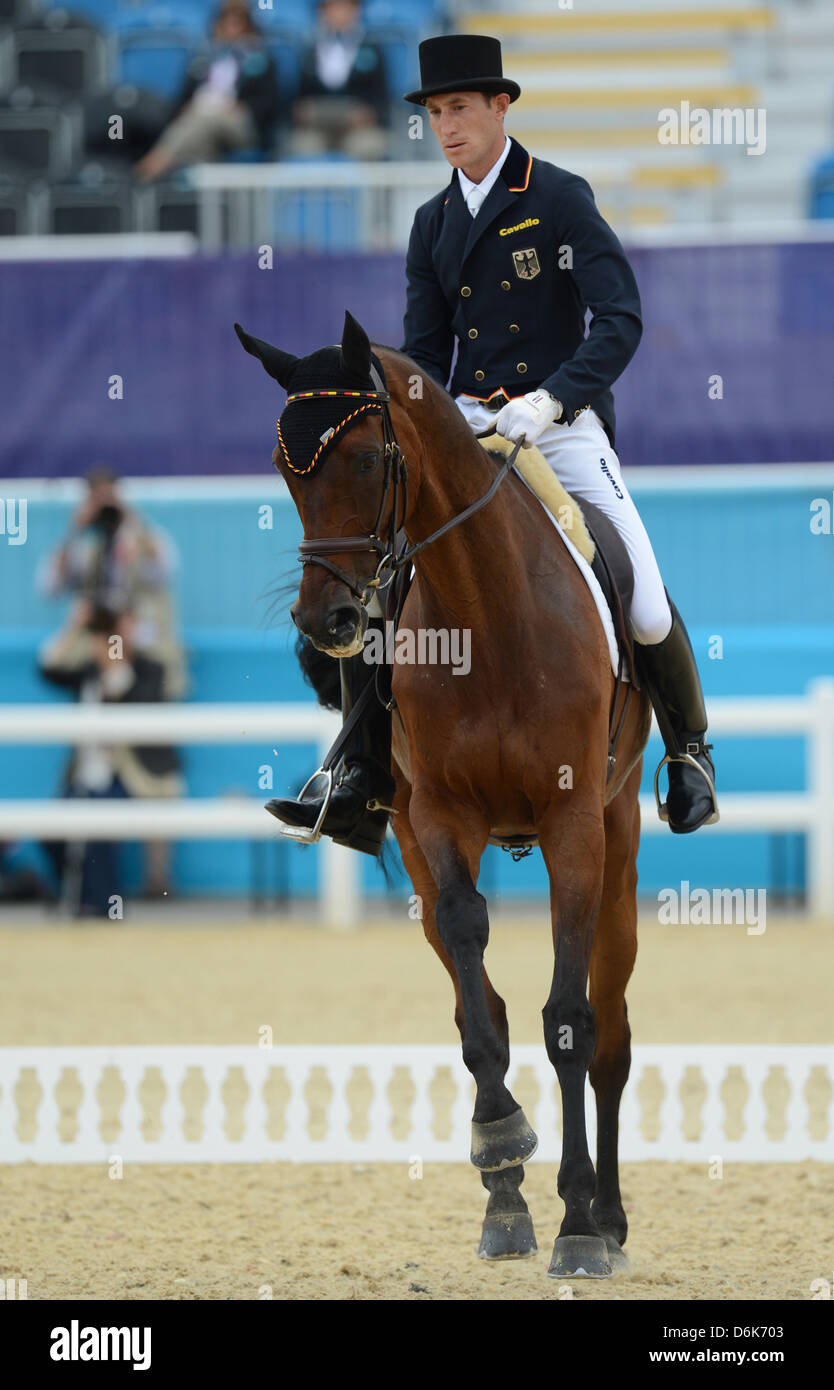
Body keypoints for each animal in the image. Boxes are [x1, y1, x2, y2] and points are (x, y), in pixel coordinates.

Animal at [236, 309, 652, 1277]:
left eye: (365, 460)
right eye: (282, 465)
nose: (323, 626)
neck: (487, 612)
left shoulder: (574, 824)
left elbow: (570, 1019)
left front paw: (581, 1225)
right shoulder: (437, 821)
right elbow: (479, 1005)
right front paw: (504, 1162)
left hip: (617, 842)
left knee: (611, 1032)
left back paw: (611, 1219)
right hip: (420, 851)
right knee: (478, 999)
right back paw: (511, 1185)